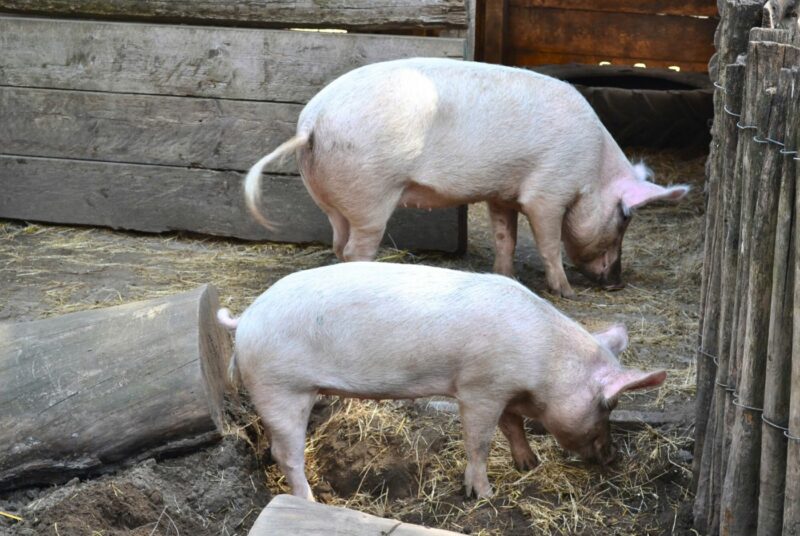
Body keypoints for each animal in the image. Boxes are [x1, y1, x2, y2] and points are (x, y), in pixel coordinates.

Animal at [218, 262, 666, 501]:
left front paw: (528, 464)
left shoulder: (502, 389)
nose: (611, 457)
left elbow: (513, 425)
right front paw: (485, 494)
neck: (545, 366)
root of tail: (246, 318)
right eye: (608, 404)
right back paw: (313, 500)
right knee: (285, 453)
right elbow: (479, 441)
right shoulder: (479, 387)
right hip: (280, 389)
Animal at [244, 58, 689, 298]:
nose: (616, 283)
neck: (592, 168)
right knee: (355, 249)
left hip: (333, 196)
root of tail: (312, 122)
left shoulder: (502, 193)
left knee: (338, 243)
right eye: (625, 217)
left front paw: (505, 275)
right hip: (372, 193)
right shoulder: (548, 191)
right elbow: (547, 242)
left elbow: (505, 235)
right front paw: (566, 292)